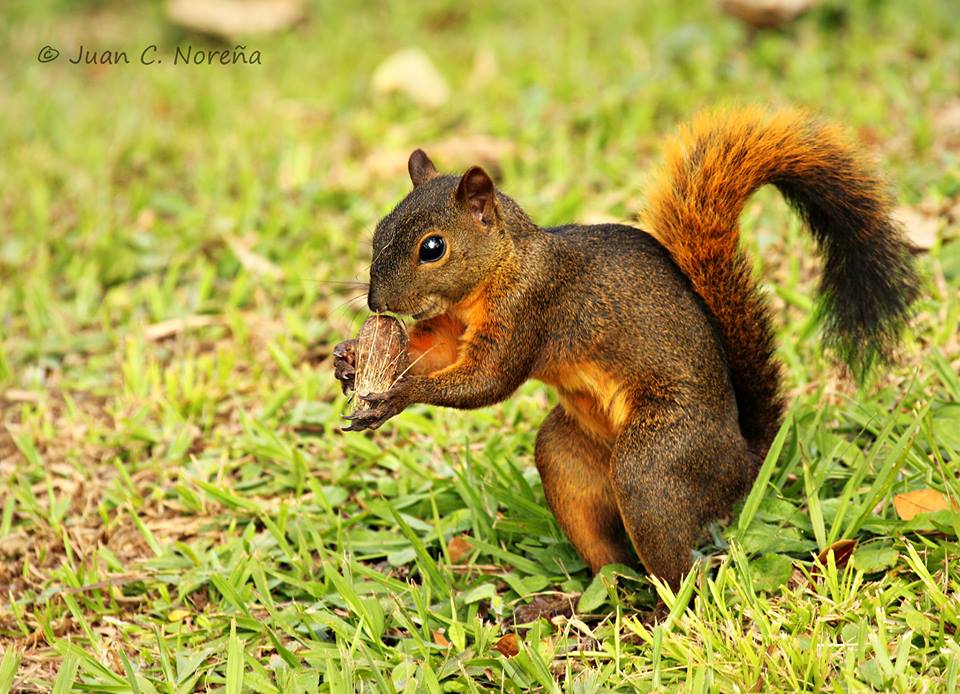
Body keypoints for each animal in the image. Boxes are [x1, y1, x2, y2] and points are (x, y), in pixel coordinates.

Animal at [333, 107, 918, 589]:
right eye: (379, 230)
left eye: (433, 248)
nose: (374, 300)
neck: (500, 267)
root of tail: (744, 461)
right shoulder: (454, 324)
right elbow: (435, 351)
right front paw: (351, 358)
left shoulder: (531, 307)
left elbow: (486, 382)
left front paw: (396, 393)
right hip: (568, 457)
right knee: (608, 555)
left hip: (655, 464)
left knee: (677, 563)